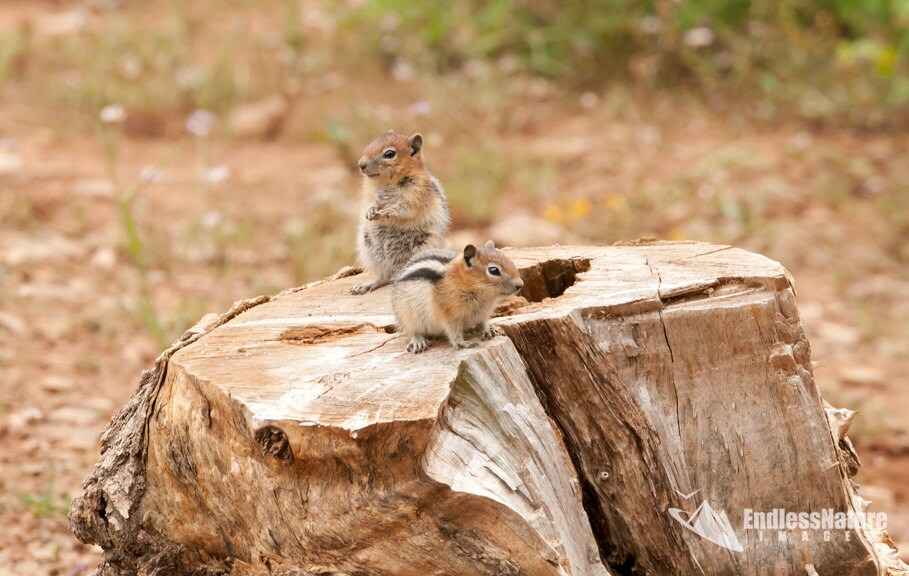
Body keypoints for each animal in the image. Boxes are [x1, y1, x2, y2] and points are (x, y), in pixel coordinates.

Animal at [350, 130, 450, 295]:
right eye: (369, 145)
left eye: (389, 154)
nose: (361, 164)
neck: (386, 183)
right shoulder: (370, 194)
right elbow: (370, 203)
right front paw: (371, 212)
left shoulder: (417, 195)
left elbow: (404, 209)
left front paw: (387, 211)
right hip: (370, 251)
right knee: (384, 277)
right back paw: (366, 285)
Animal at [392, 240, 524, 353]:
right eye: (494, 270)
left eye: (510, 262)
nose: (520, 285)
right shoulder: (449, 315)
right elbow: (453, 332)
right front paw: (462, 343)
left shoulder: (483, 312)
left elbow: (482, 322)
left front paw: (488, 330)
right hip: (407, 317)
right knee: (412, 331)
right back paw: (418, 341)